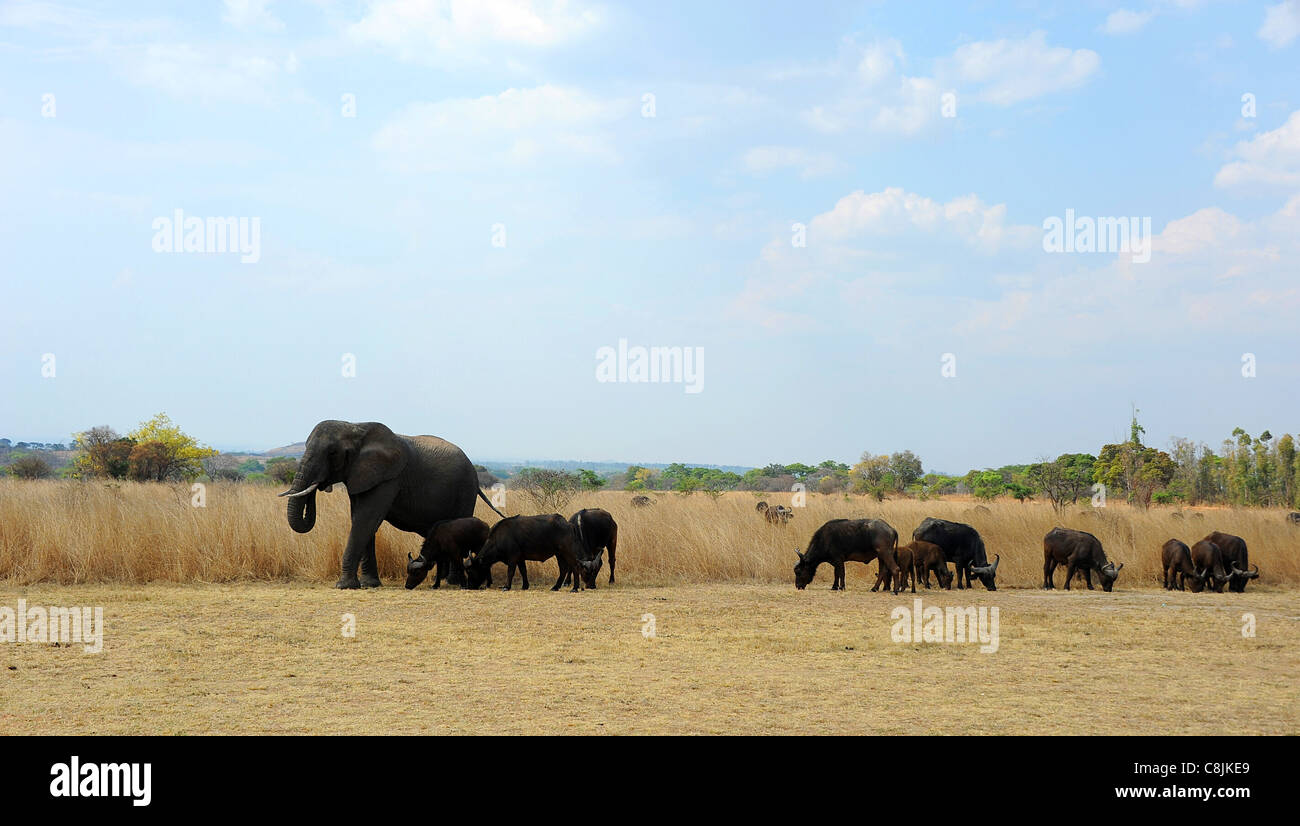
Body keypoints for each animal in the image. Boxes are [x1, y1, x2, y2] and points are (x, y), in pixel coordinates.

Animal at [280, 420, 504, 589]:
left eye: (332, 452)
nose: (320, 484)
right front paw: (369, 584)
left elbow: (366, 520)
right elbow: (361, 520)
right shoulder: (362, 475)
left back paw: (453, 582)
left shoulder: (388, 478)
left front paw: (344, 586)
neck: (356, 426)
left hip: (465, 489)